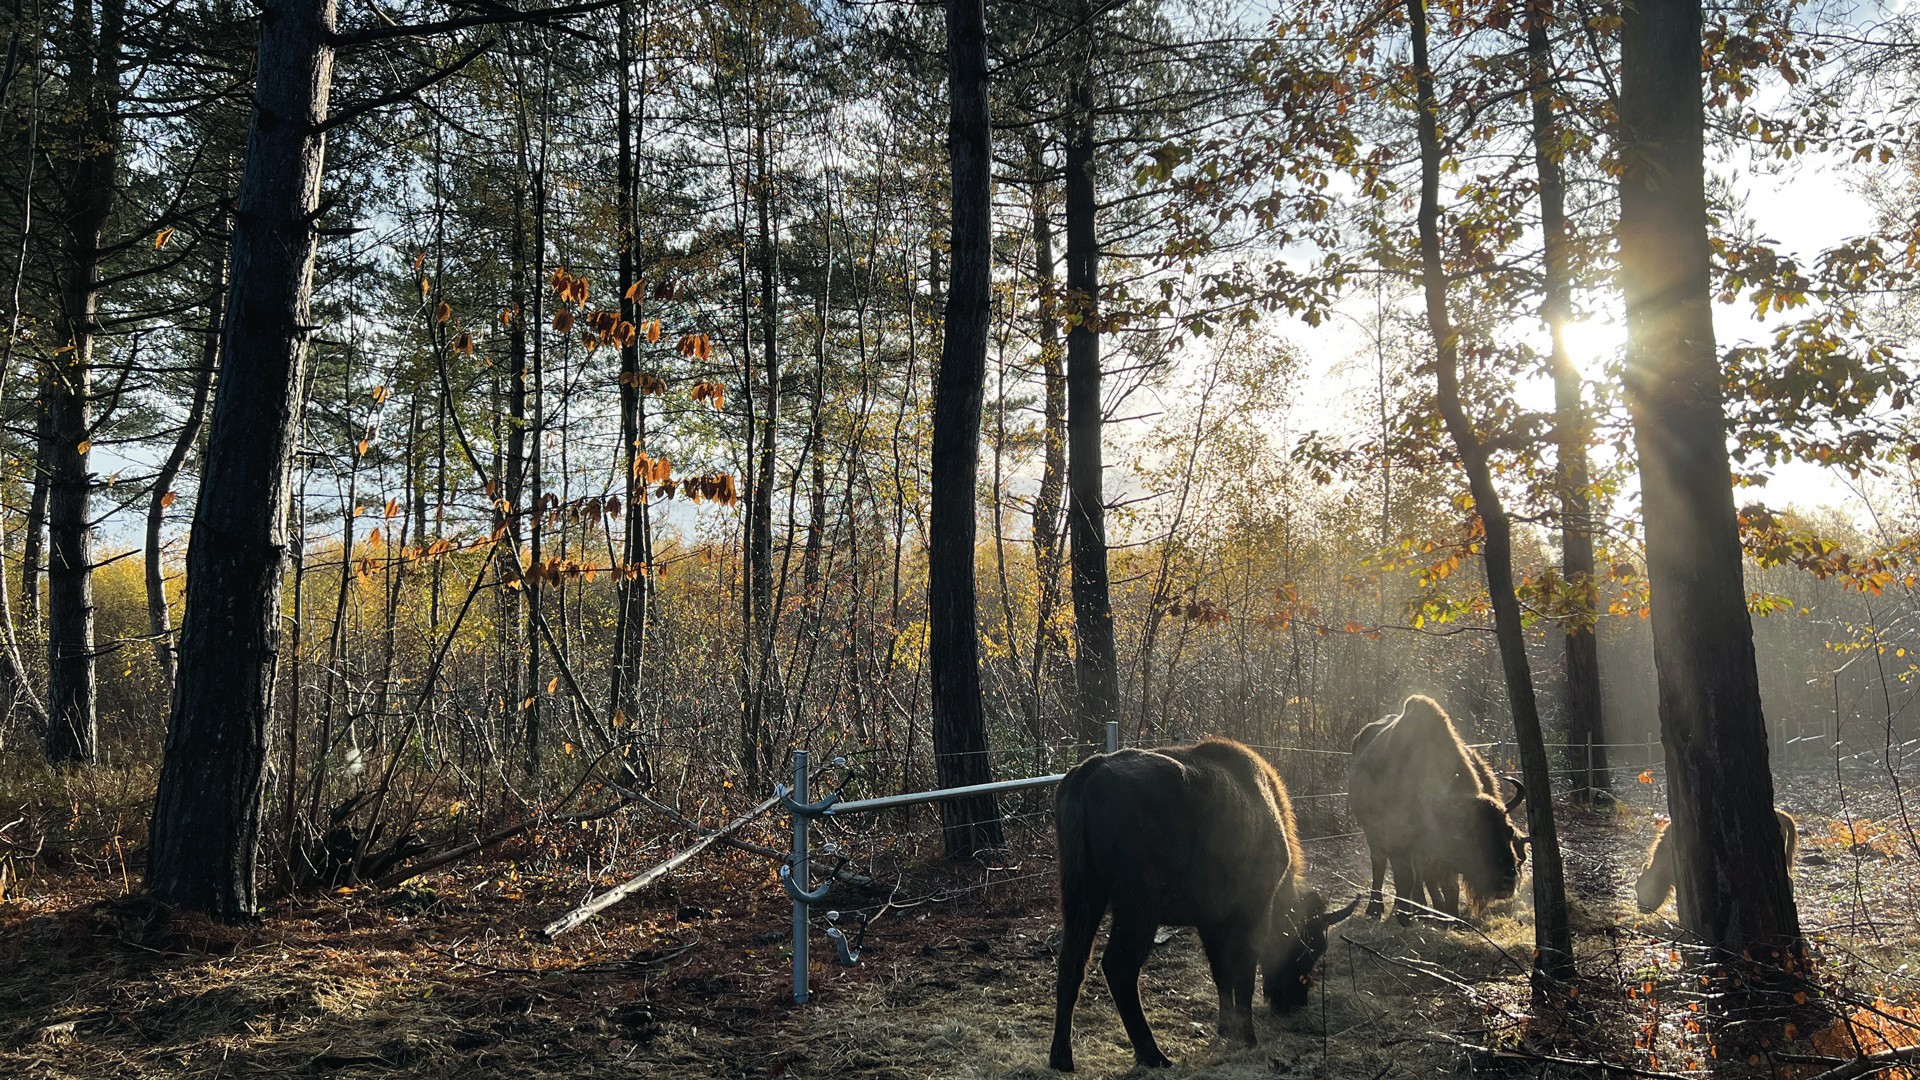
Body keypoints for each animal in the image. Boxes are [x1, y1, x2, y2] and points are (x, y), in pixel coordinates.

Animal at [1049, 738, 1359, 1072]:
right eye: (1308, 947)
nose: (1293, 1003)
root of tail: (1089, 772)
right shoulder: (1252, 911)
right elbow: (1243, 973)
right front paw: (1247, 1037)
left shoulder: (1210, 921)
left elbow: (1221, 972)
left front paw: (1225, 1030)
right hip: (1138, 908)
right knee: (1119, 968)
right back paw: (1154, 1055)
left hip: (1082, 899)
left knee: (1071, 965)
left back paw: (1062, 1058)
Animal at [1349, 695, 1528, 923]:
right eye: (1469, 834)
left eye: (1509, 831)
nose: (1507, 878)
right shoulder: (1400, 843)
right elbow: (1406, 878)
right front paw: (1405, 917)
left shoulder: (1437, 853)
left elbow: (1447, 886)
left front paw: (1449, 917)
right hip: (1372, 832)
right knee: (1379, 864)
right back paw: (1376, 908)